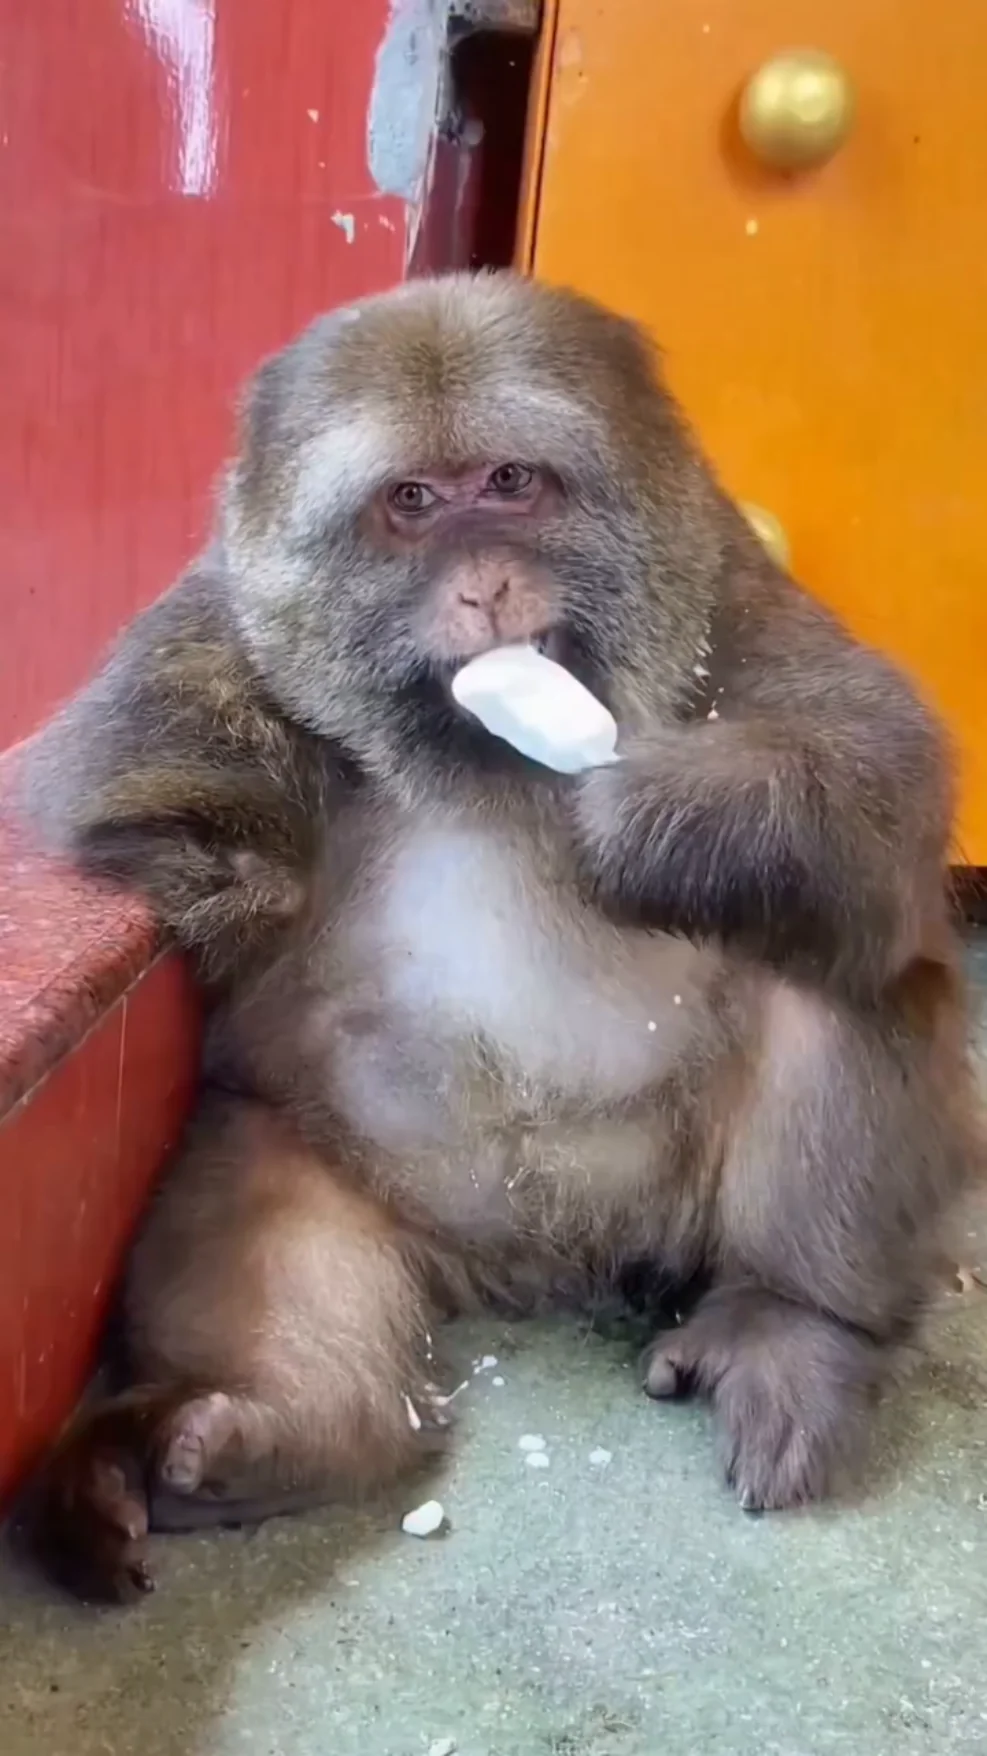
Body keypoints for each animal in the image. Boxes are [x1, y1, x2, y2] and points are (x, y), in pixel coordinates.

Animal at [20, 270, 980, 1601]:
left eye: (511, 484)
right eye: (413, 503)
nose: (480, 585)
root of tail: (538, 1265)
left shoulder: (730, 596)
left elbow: (882, 772)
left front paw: (663, 819)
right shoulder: (217, 615)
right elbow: (111, 781)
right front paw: (230, 849)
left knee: (836, 977)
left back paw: (797, 1324)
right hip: (352, 1169)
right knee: (257, 1179)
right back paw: (280, 1432)